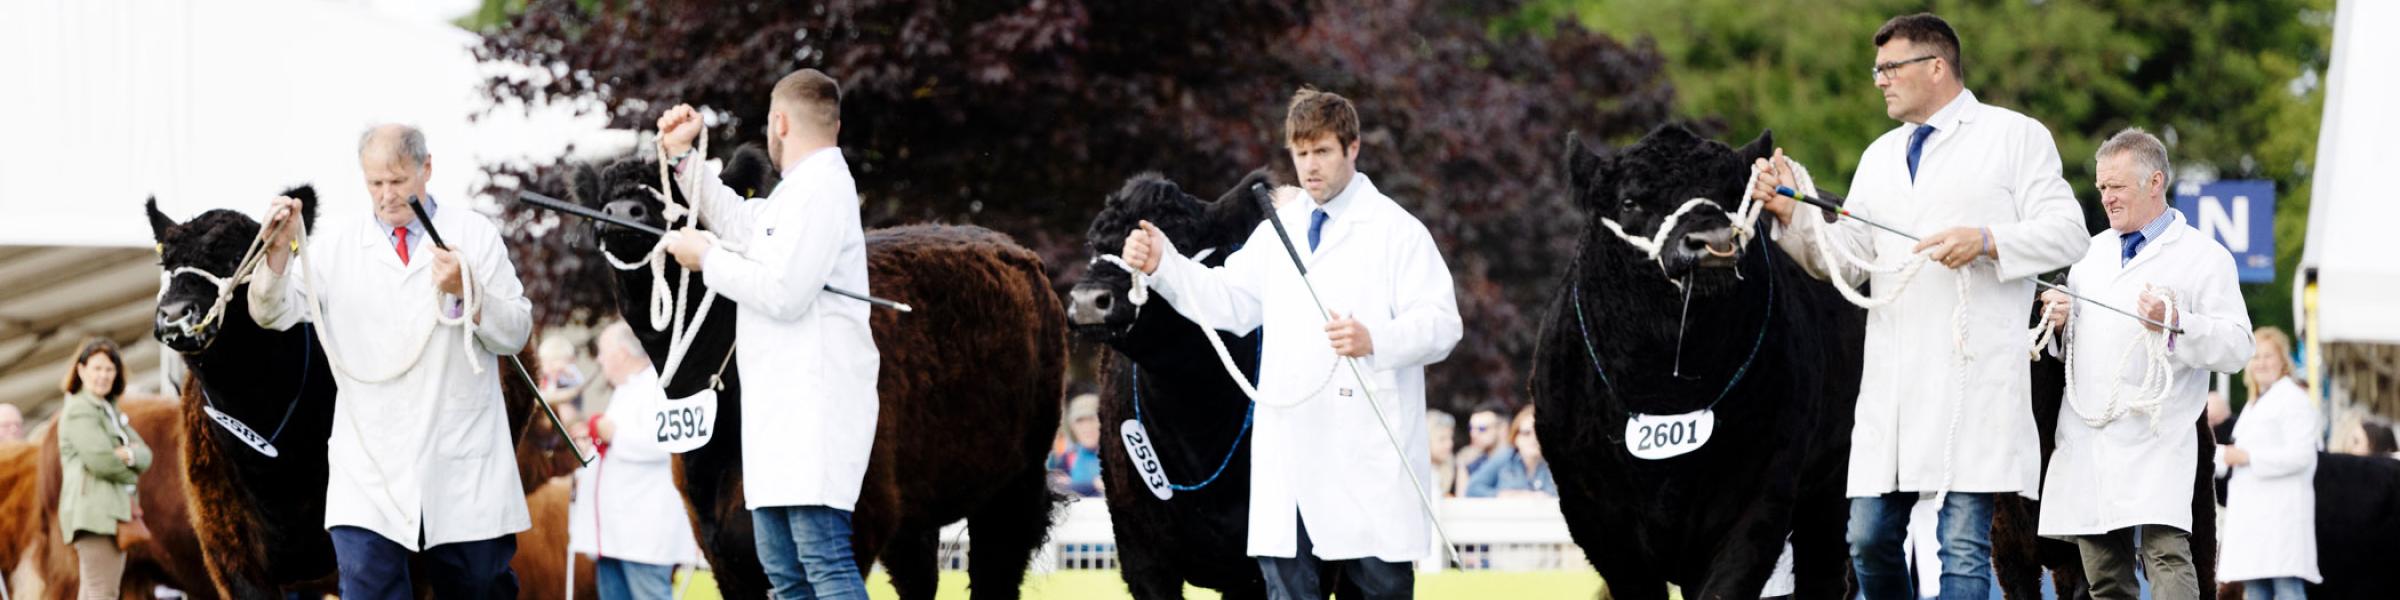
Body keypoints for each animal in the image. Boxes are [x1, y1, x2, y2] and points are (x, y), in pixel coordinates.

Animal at [570, 147, 1069, 599]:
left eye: (680, 190)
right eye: (604, 195)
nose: (622, 213)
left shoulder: (853, 523)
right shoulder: (720, 550)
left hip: (1015, 484)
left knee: (996, 573)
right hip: (916, 504)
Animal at [1532, 124, 1862, 600]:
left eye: (1734, 193)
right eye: (1630, 201)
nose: (1714, 244)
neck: (1666, 386)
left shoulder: (1759, 495)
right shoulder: (1595, 515)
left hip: (1836, 483)